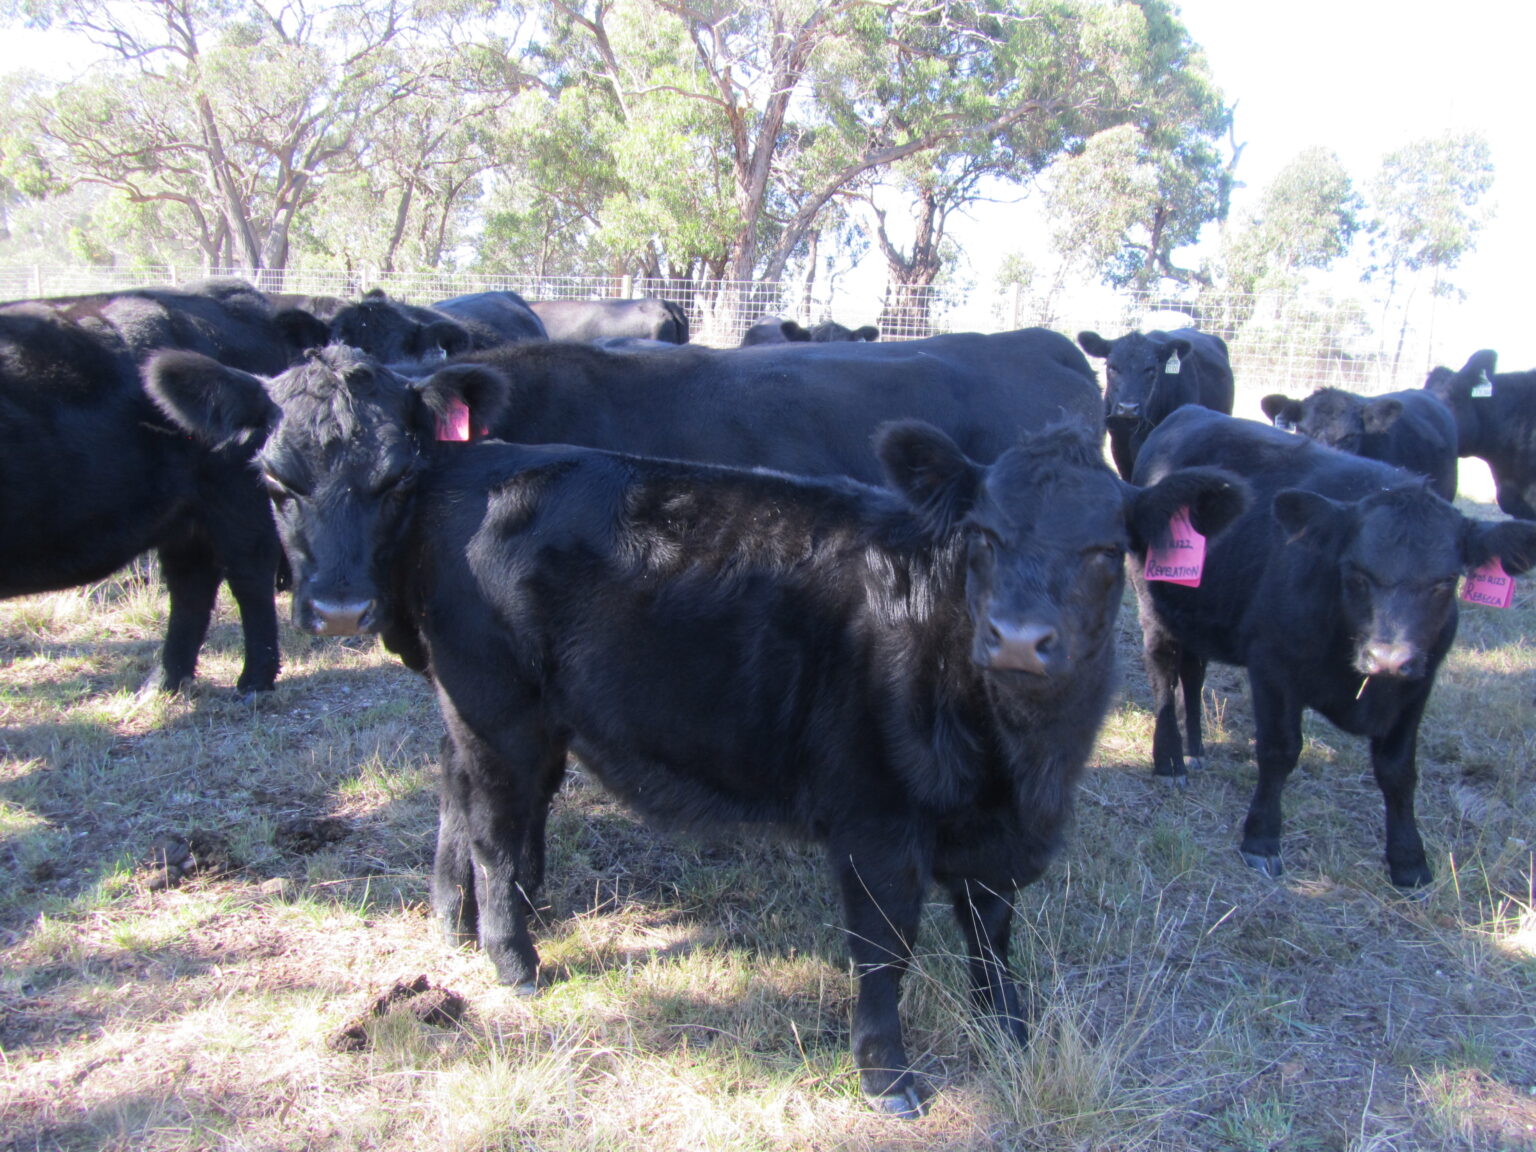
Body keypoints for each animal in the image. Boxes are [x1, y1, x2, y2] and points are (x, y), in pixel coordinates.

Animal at [0, 308, 282, 694]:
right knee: (192, 584)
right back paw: (164, 682)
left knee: (247, 575)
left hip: (233, 501)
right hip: (184, 516)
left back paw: (252, 682)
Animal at [1130, 406, 1536, 888]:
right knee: (1163, 670)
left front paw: (1409, 859)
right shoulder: (1273, 666)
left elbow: (1399, 770)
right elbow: (1280, 750)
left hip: (1200, 614)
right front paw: (1262, 839)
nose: (1389, 658)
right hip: (1154, 605)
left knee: (1193, 673)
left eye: (1446, 581)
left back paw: (1195, 749)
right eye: (1355, 572)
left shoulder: (1418, 684)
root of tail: (1188, 413)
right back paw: (1171, 760)